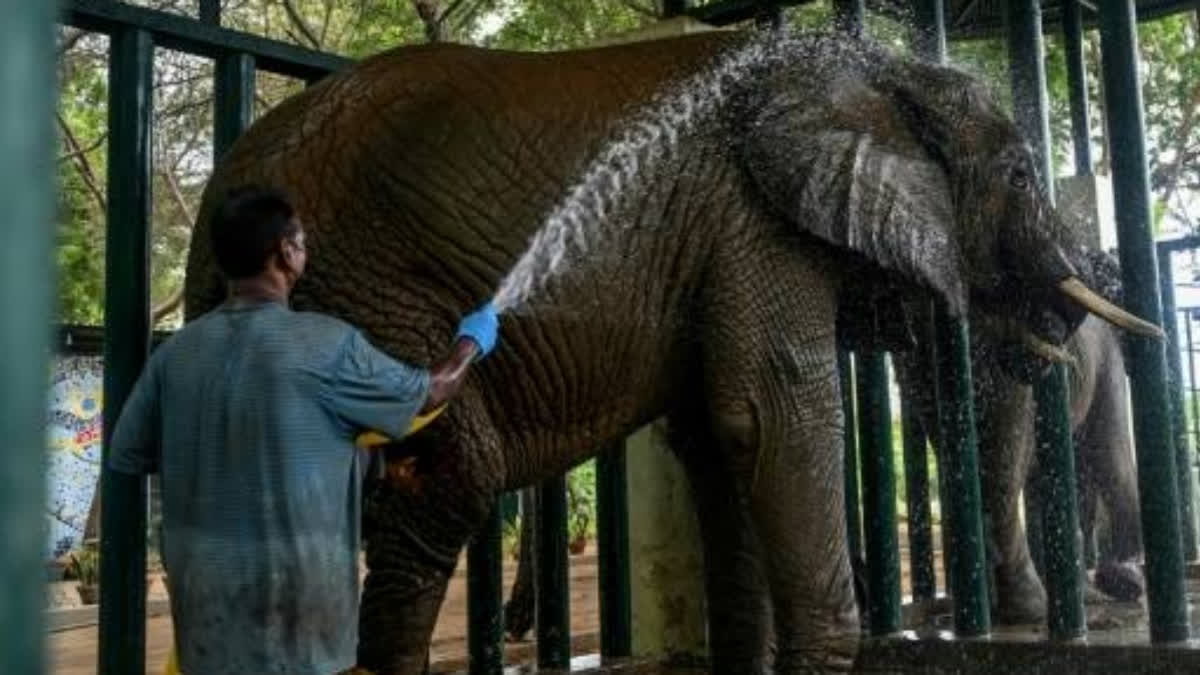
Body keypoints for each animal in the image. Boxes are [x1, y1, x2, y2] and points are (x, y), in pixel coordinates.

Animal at [184, 27, 1160, 673]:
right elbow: (769, 417)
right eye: (1022, 175)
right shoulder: (755, 223)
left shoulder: (720, 240)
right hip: (362, 296)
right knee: (441, 488)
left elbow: (719, 442)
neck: (879, 72)